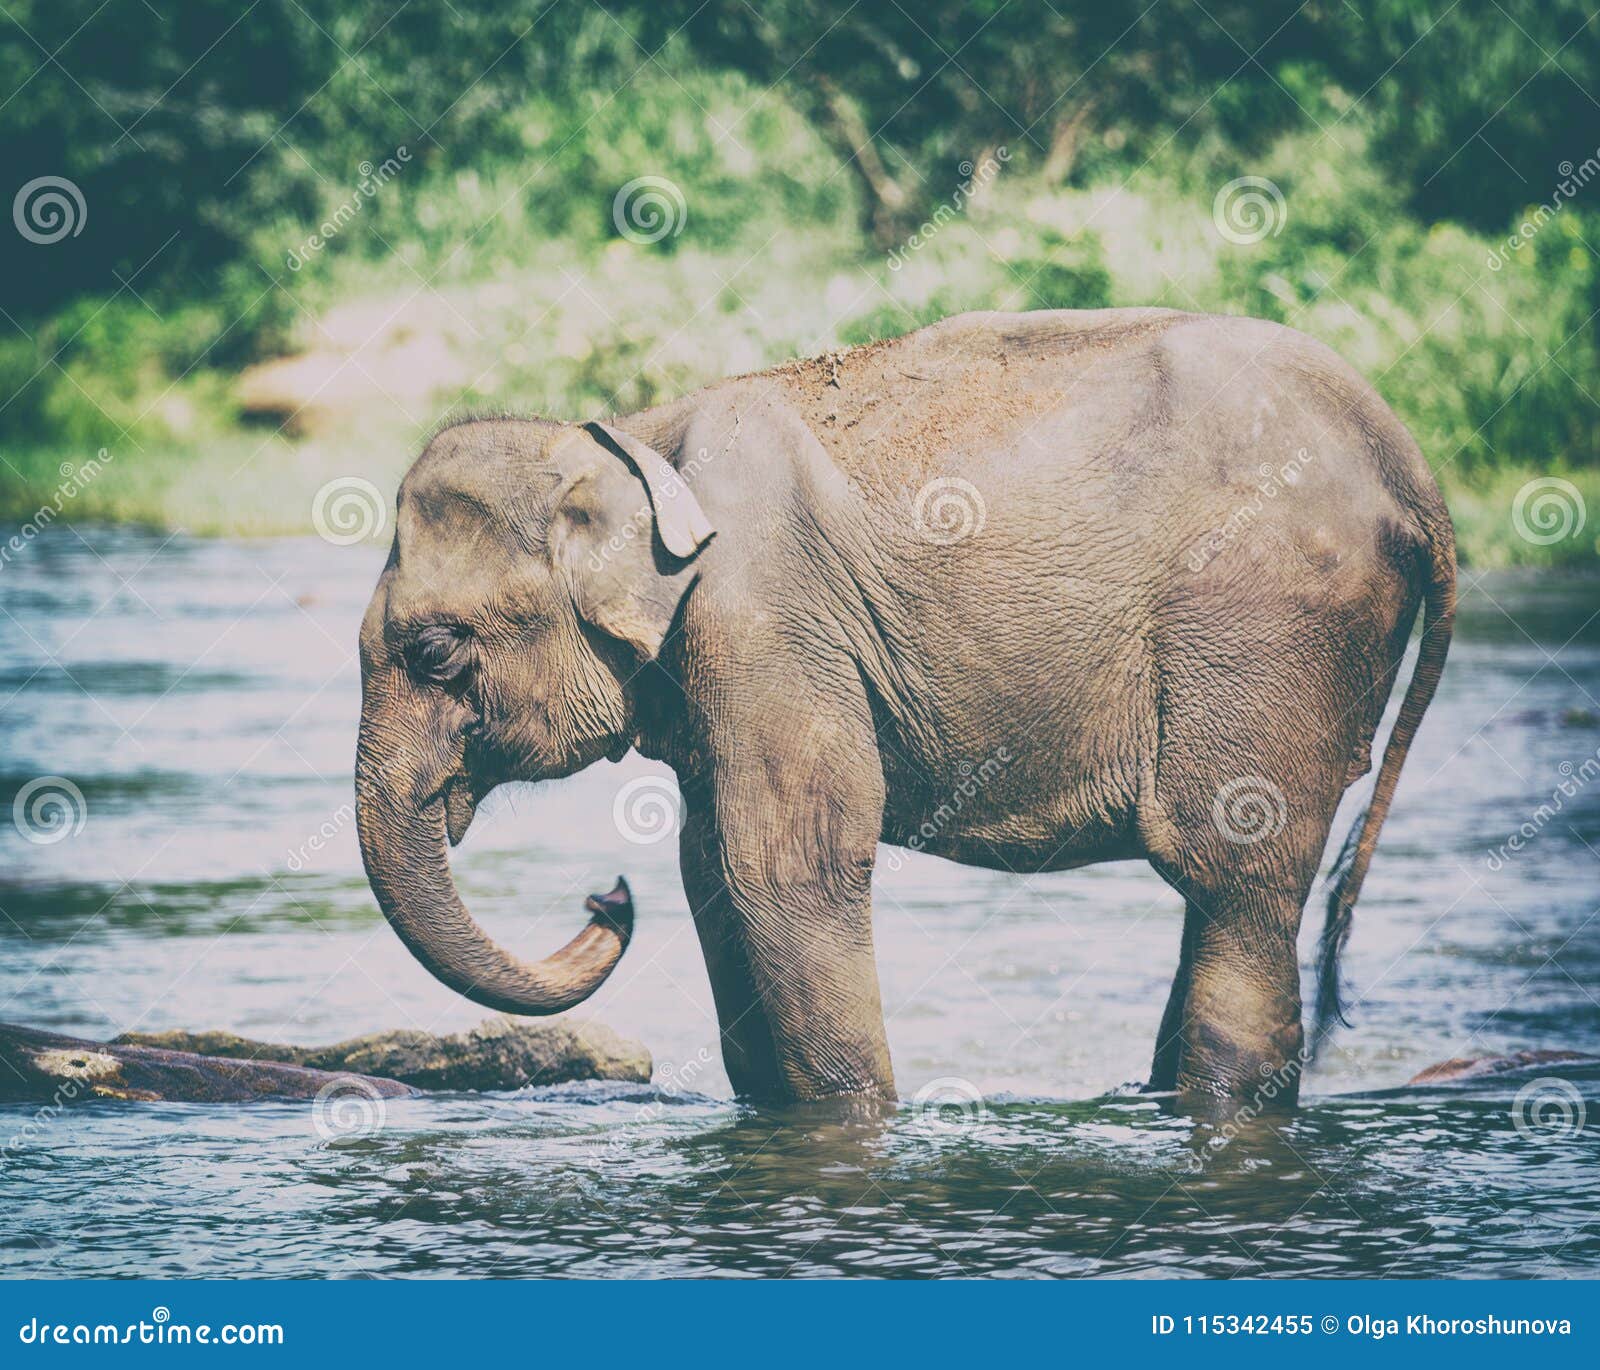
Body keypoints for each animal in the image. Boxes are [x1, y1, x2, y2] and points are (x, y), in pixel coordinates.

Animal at [354, 307, 1454, 1111]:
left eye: (434, 651)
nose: (602, 897)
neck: (630, 441)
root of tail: (1411, 468)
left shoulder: (768, 621)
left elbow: (787, 861)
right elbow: (709, 865)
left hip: (1267, 626)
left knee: (1227, 873)